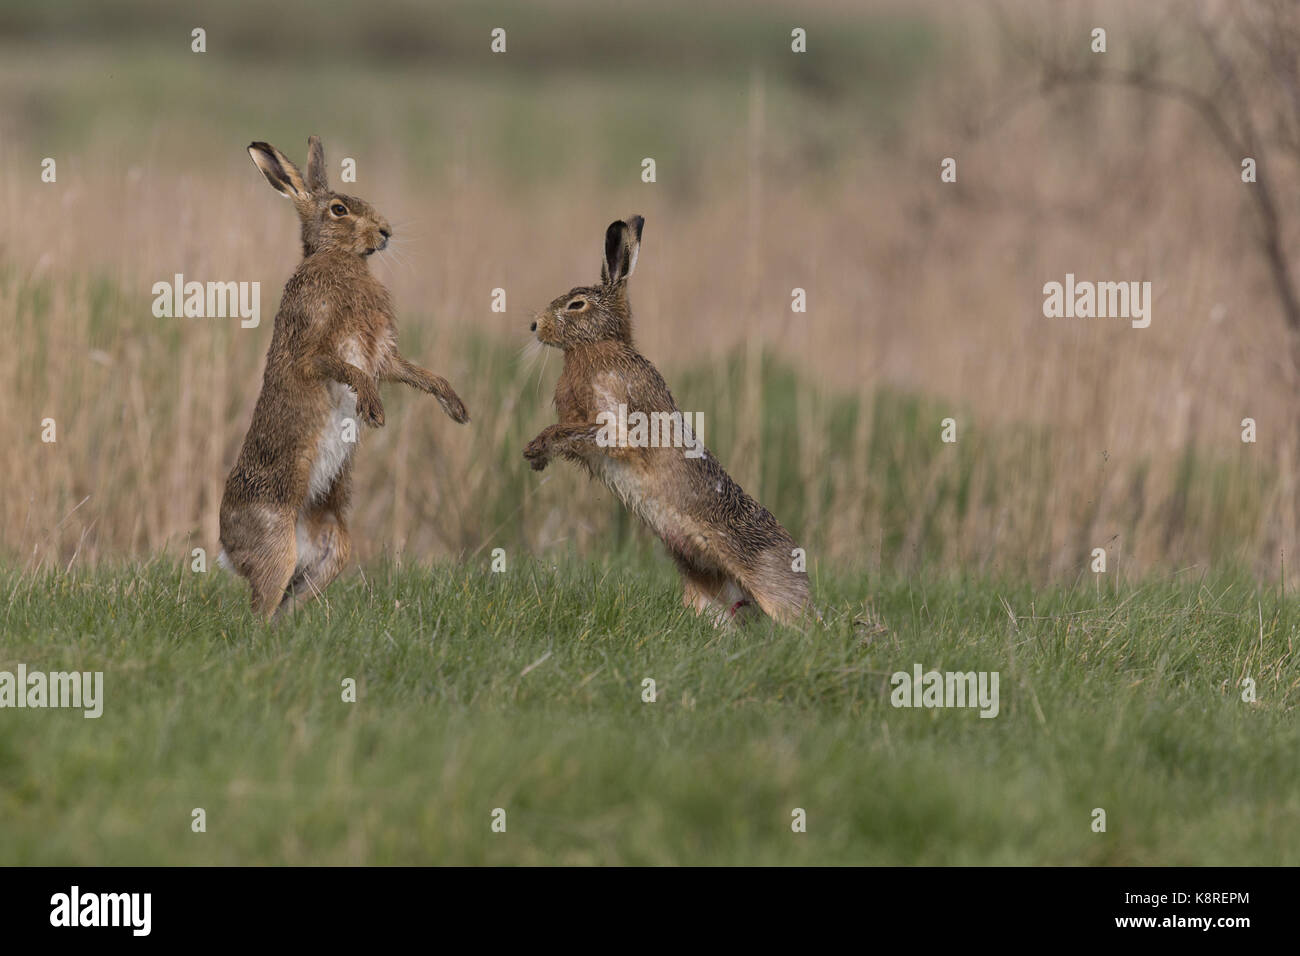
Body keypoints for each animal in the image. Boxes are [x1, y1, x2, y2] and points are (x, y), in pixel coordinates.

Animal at [219, 136, 469, 620]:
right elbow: (347, 370)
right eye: (339, 209)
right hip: (275, 548)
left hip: (334, 551)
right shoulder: (313, 349)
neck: (337, 258)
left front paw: (455, 406)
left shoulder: (385, 356)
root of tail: (224, 546)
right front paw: (373, 408)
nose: (386, 232)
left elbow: (412, 372)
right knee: (261, 608)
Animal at [523, 215, 809, 625]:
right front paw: (536, 454)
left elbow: (581, 432)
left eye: (577, 304)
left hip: (768, 584)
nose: (535, 325)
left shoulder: (617, 422)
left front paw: (538, 446)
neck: (596, 346)